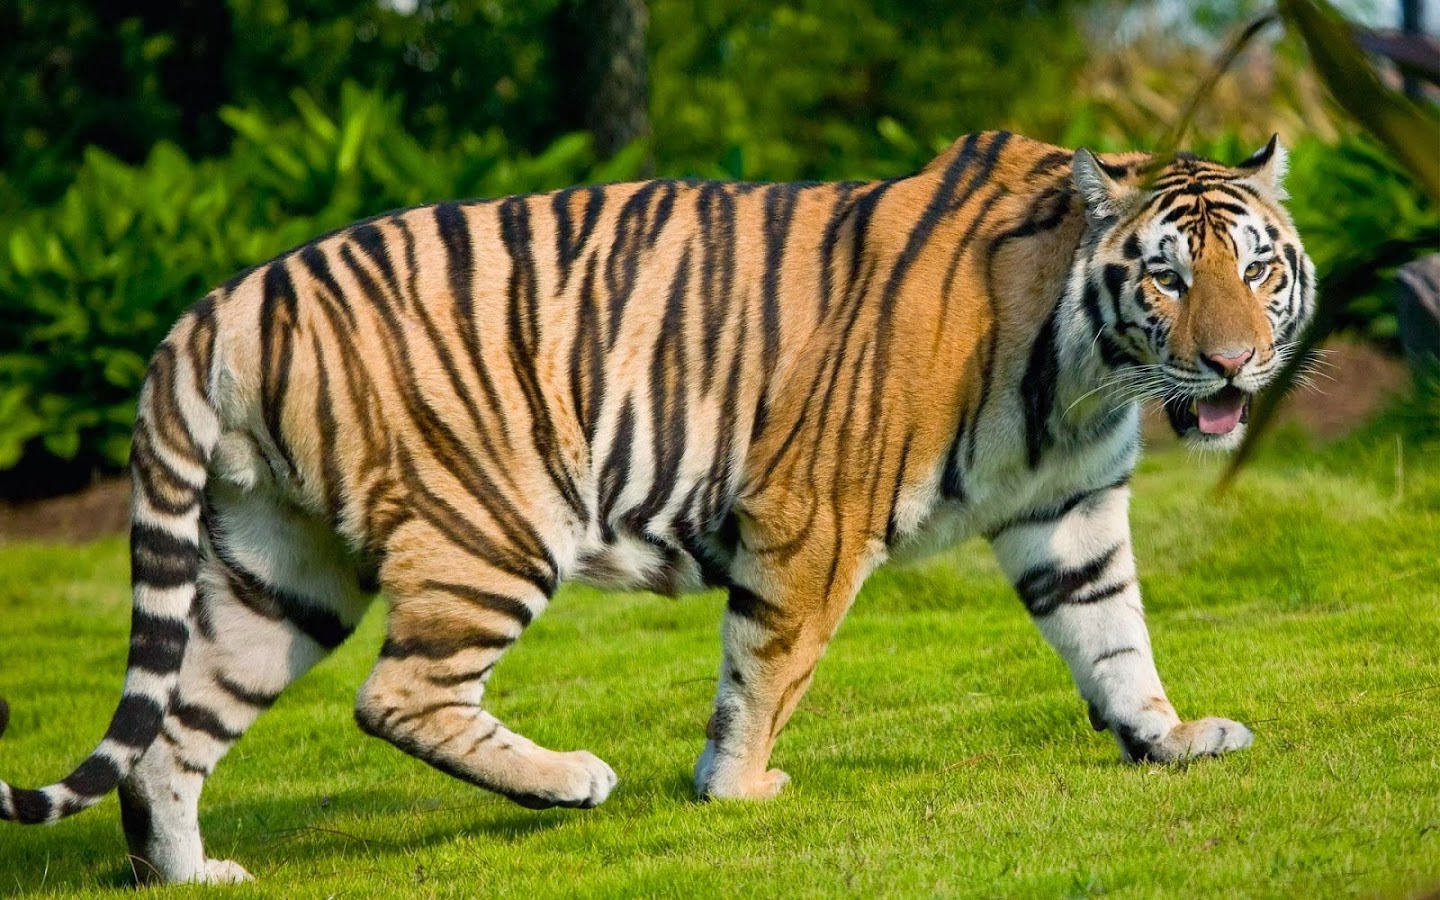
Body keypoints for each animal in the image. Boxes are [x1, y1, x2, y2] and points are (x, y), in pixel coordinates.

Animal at [0, 130, 1313, 884]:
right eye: (1166, 277)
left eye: (1255, 268)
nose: (1235, 366)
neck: (1085, 373)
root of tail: (217, 302)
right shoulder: (814, 511)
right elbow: (770, 666)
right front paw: (736, 789)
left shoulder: (1071, 512)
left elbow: (1114, 635)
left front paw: (1168, 737)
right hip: (492, 526)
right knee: (395, 694)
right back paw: (570, 780)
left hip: (284, 567)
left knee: (174, 733)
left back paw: (191, 872)